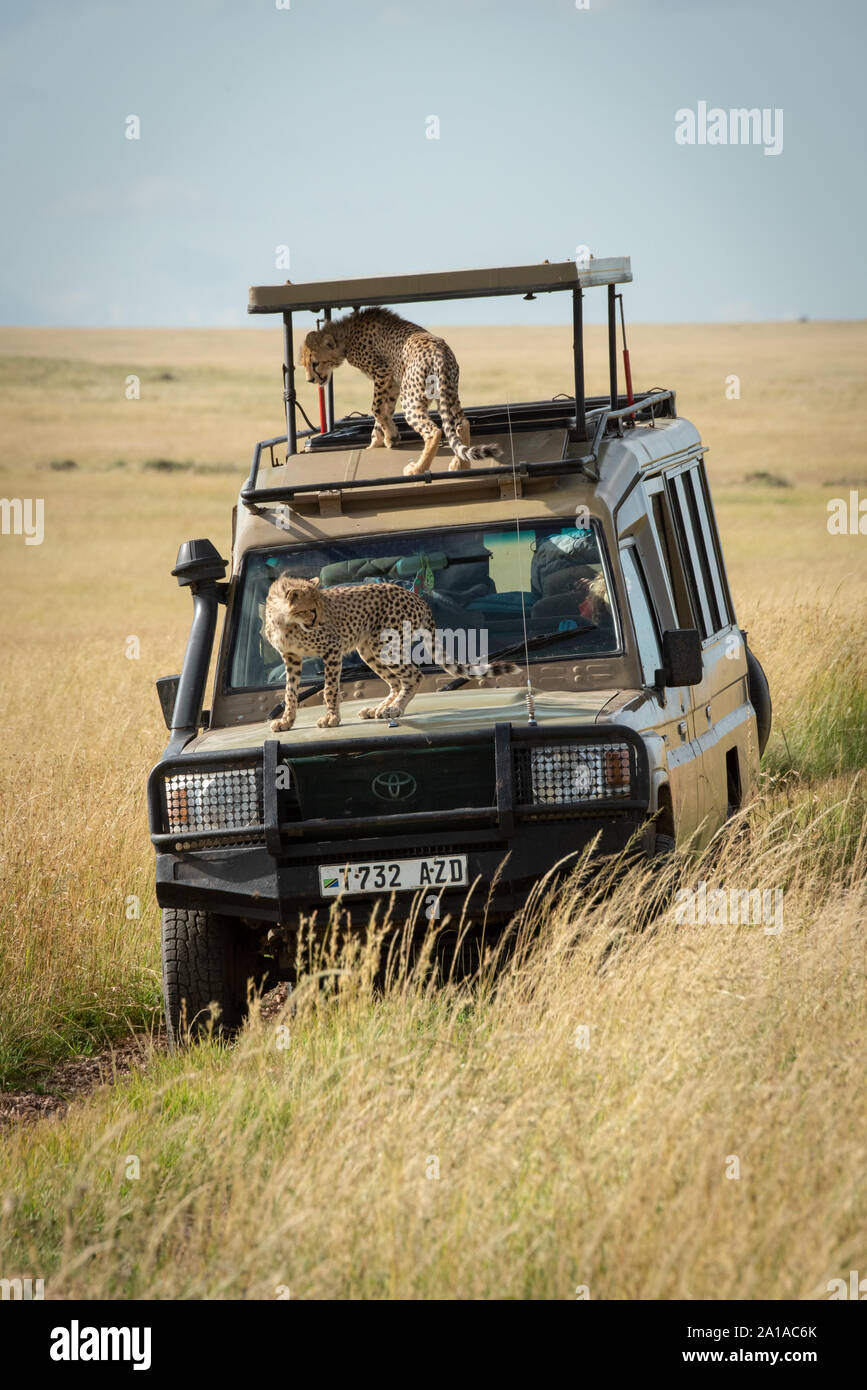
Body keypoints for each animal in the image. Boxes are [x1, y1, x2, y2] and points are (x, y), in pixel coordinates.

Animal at [264, 575, 519, 731]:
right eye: (311, 610)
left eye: (321, 607)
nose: (321, 622)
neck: (285, 621)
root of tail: (418, 597)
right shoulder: (292, 659)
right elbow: (290, 692)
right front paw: (286, 722)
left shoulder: (332, 649)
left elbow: (329, 690)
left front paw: (332, 718)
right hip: (368, 649)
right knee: (396, 681)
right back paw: (380, 708)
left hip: (382, 644)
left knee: (414, 675)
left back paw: (395, 709)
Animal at [298, 307, 503, 476]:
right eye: (304, 364)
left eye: (315, 363)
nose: (310, 380)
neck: (345, 334)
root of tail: (439, 352)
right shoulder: (394, 382)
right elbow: (385, 411)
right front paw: (382, 440)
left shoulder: (383, 373)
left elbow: (377, 409)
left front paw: (388, 437)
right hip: (447, 394)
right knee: (462, 423)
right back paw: (461, 464)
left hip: (411, 399)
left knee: (434, 431)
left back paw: (418, 469)